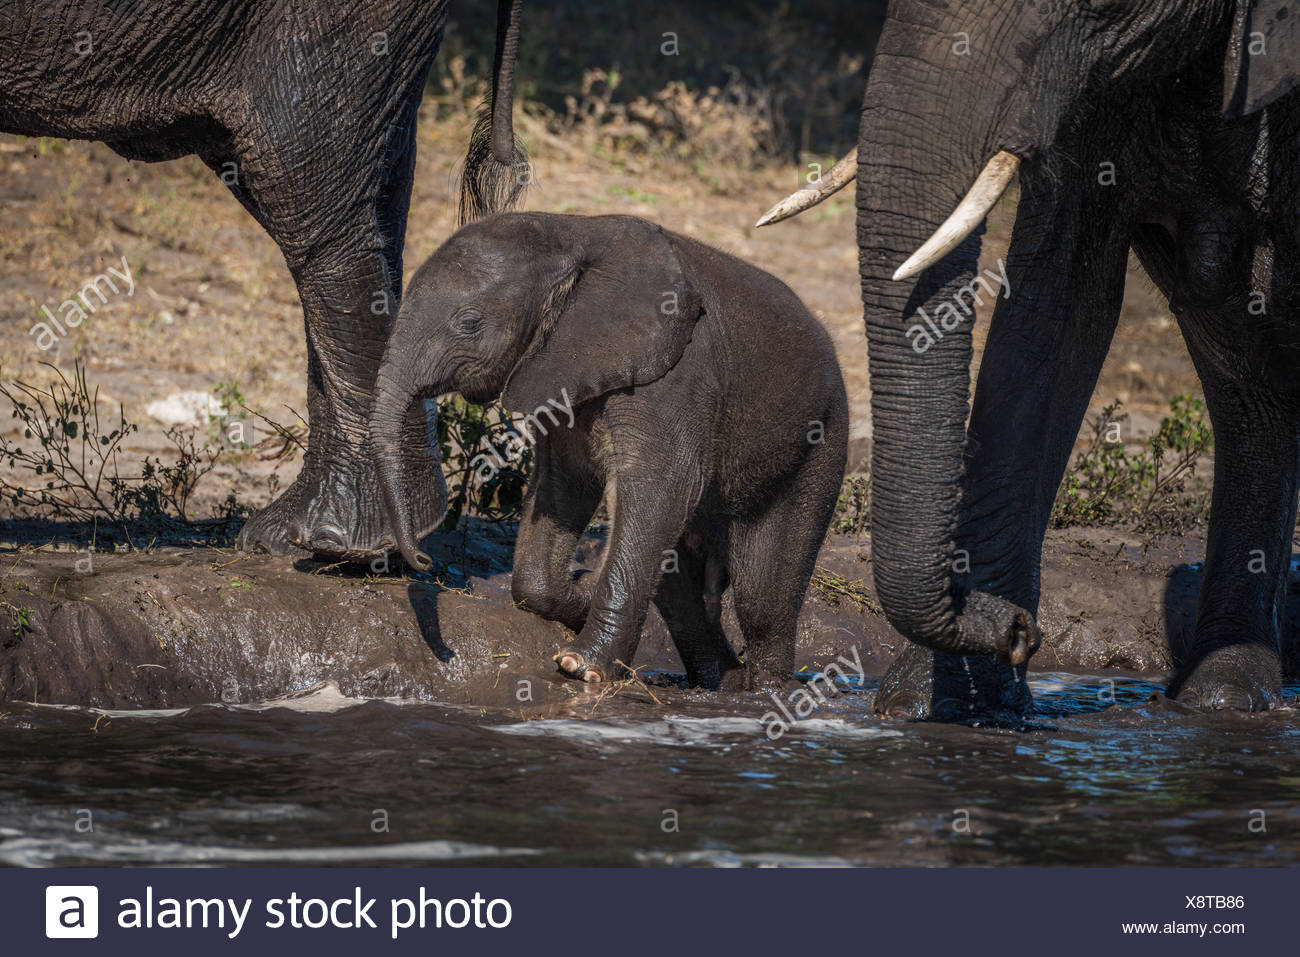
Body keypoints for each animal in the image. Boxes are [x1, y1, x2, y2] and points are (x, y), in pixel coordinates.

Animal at [368, 212, 848, 688]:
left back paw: (763, 690)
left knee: (762, 596)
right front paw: (578, 598)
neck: (569, 233)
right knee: (681, 585)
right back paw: (719, 683)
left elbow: (661, 487)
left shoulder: (678, 376)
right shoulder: (562, 366)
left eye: (468, 323)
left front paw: (579, 666)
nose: (423, 558)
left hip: (820, 443)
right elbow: (563, 484)